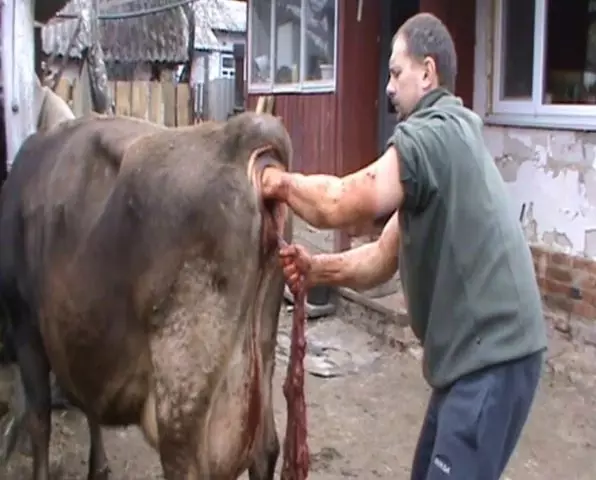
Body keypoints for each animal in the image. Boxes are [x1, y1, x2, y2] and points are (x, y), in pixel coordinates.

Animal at [0, 111, 294, 480]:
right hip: (260, 354)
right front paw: (99, 467)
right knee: (265, 449)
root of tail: (244, 133)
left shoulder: (25, 323)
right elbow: (88, 405)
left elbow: (39, 418)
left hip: (181, 390)